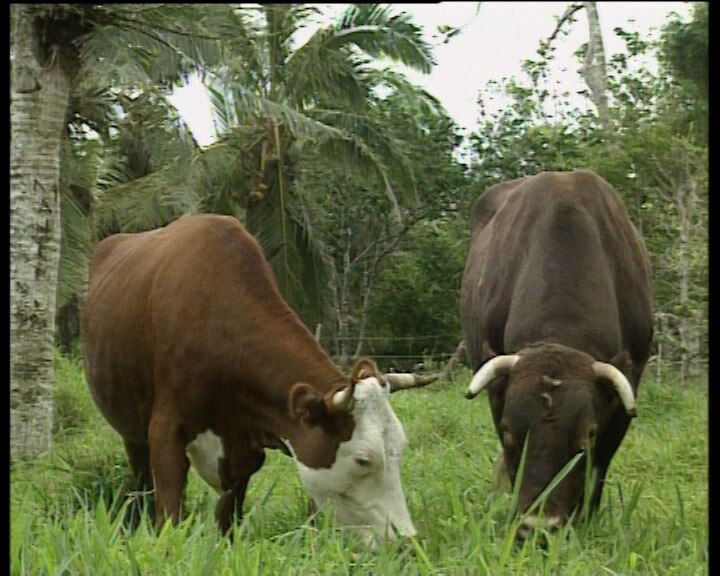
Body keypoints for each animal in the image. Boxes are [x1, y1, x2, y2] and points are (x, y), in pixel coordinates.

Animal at [81, 213, 431, 545]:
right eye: (362, 459)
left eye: (399, 448)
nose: (406, 540)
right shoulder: (166, 431)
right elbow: (168, 514)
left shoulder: (248, 448)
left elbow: (228, 520)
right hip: (132, 432)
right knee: (143, 487)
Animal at [460, 170, 653, 539]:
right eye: (508, 429)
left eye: (588, 434)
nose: (538, 527)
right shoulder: (497, 394)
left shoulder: (625, 395)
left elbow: (599, 469)